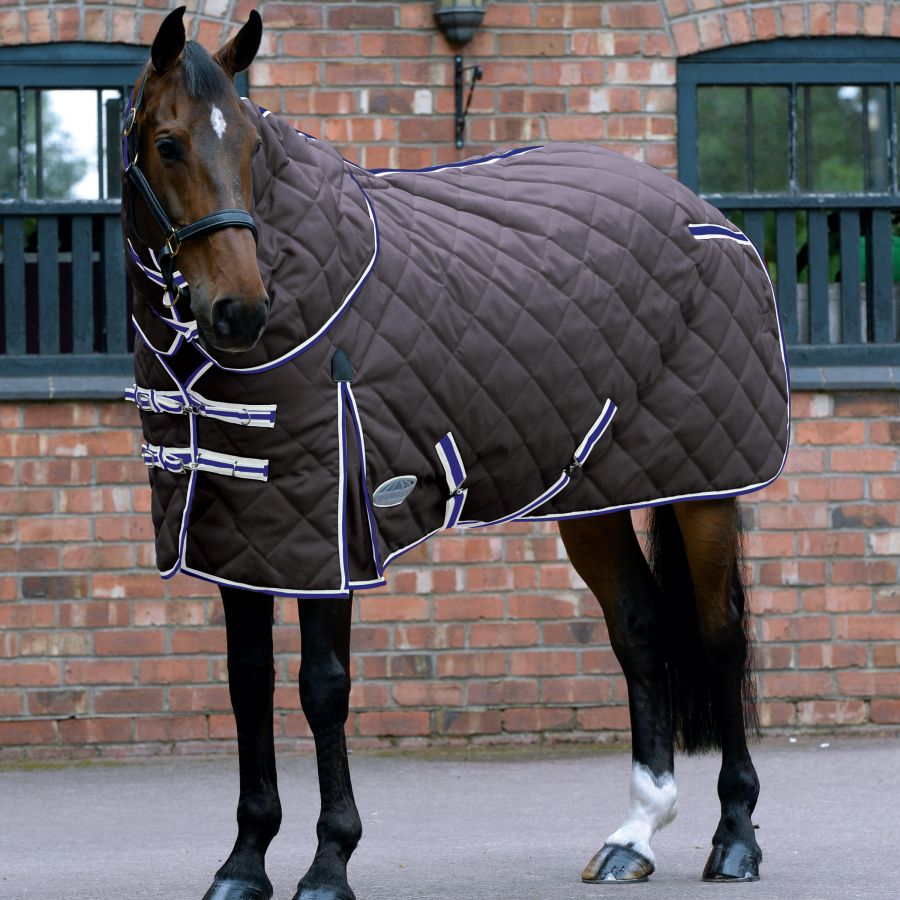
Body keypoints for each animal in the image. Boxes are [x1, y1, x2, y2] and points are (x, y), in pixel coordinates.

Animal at [122, 9, 789, 899]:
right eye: (168, 144)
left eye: (252, 145)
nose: (239, 309)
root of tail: (707, 216)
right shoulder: (243, 532)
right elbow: (248, 683)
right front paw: (243, 862)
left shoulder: (332, 530)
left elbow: (322, 688)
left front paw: (329, 862)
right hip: (591, 496)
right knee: (641, 629)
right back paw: (633, 837)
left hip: (702, 490)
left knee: (719, 637)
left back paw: (736, 838)